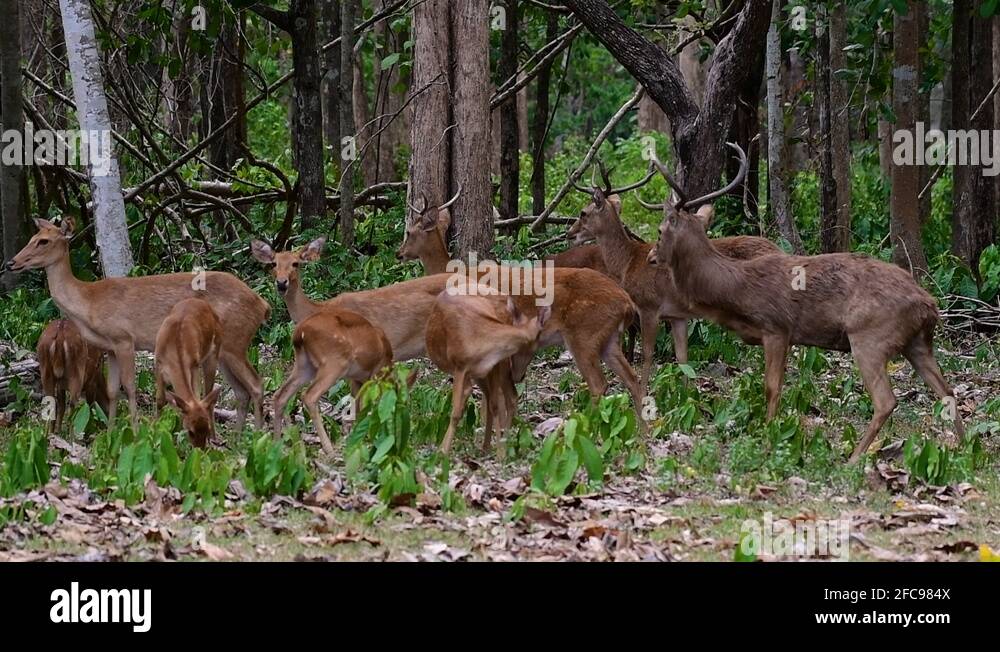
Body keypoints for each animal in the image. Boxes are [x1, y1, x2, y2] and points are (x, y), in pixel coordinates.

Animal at [153, 298, 223, 448]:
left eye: (206, 429)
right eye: (191, 431)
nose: (200, 450)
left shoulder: (194, 365)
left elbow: (196, 396)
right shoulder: (158, 364)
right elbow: (161, 400)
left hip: (214, 354)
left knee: (209, 397)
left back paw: (215, 438)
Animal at [272, 309, 393, 455]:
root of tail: (299, 332)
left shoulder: (356, 379)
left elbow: (358, 405)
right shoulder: (374, 375)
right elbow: (365, 405)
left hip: (304, 365)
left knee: (280, 395)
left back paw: (279, 444)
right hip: (335, 363)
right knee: (309, 395)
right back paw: (329, 449)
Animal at [426, 284, 550, 454]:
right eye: (538, 340)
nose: (520, 375)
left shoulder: (493, 366)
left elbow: (493, 405)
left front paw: (500, 453)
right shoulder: (460, 366)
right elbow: (458, 411)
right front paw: (443, 450)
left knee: (507, 397)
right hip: (482, 373)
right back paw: (488, 446)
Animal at [569, 162, 781, 392]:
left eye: (583, 212)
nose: (570, 233)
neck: (627, 262)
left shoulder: (648, 307)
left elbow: (647, 355)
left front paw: (645, 392)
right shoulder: (677, 315)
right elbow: (682, 358)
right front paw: (686, 394)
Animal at [649, 142, 964, 463]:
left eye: (660, 231)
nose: (650, 256)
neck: (736, 292)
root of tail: (928, 304)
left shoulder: (776, 327)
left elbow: (772, 387)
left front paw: (768, 436)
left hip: (870, 336)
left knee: (887, 400)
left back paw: (854, 458)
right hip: (917, 342)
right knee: (948, 391)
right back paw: (962, 450)